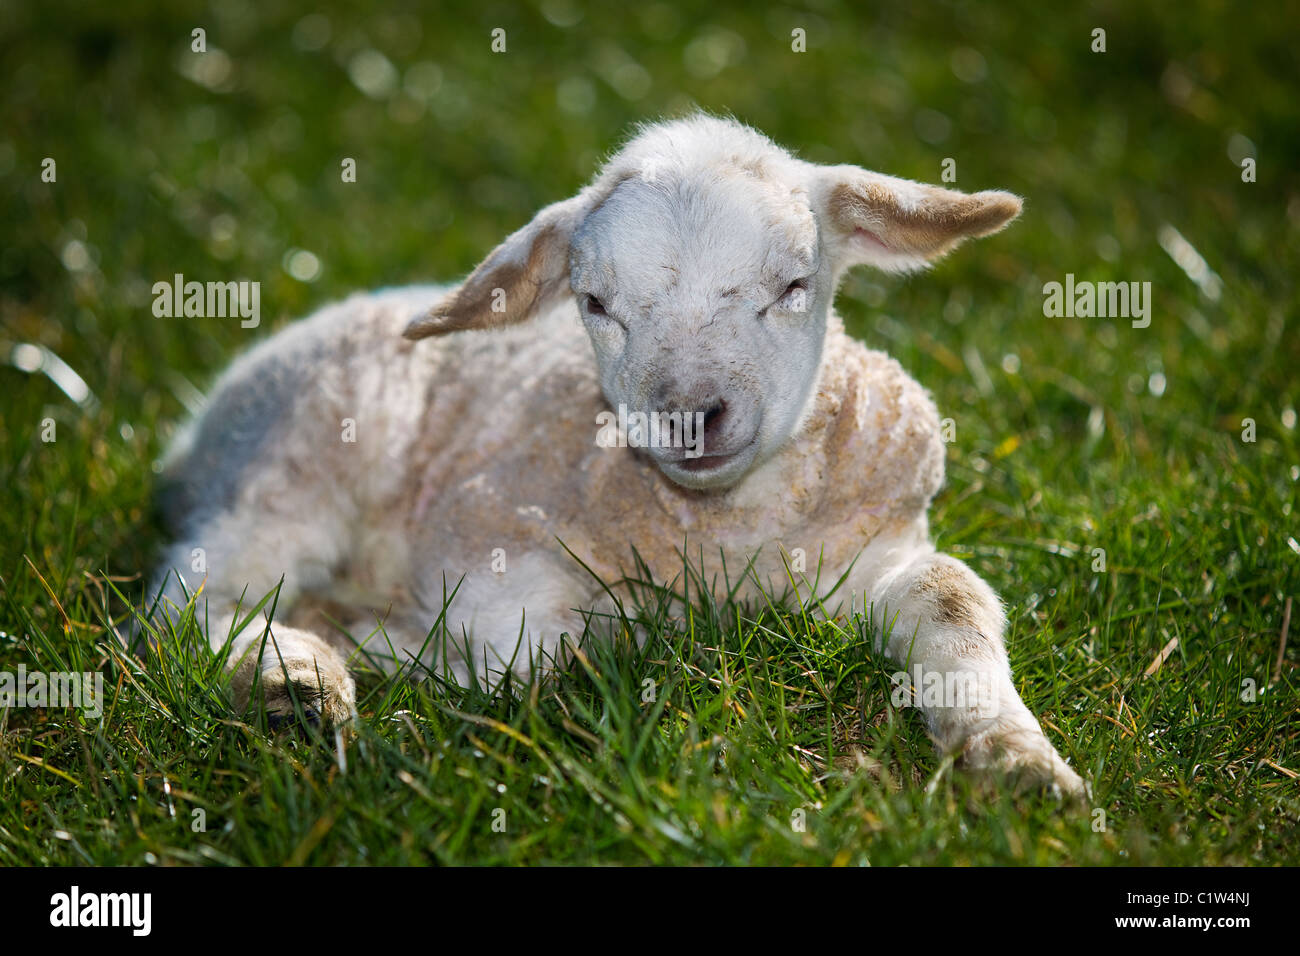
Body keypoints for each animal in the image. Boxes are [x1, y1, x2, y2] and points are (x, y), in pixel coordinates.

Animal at [149, 114, 1086, 798]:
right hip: (297, 462)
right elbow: (530, 659)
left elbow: (951, 595)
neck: (721, 541)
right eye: (594, 303)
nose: (689, 416)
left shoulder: (870, 555)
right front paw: (419, 662)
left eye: (795, 286)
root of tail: (197, 429)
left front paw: (1018, 760)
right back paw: (295, 680)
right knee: (187, 604)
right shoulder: (487, 539)